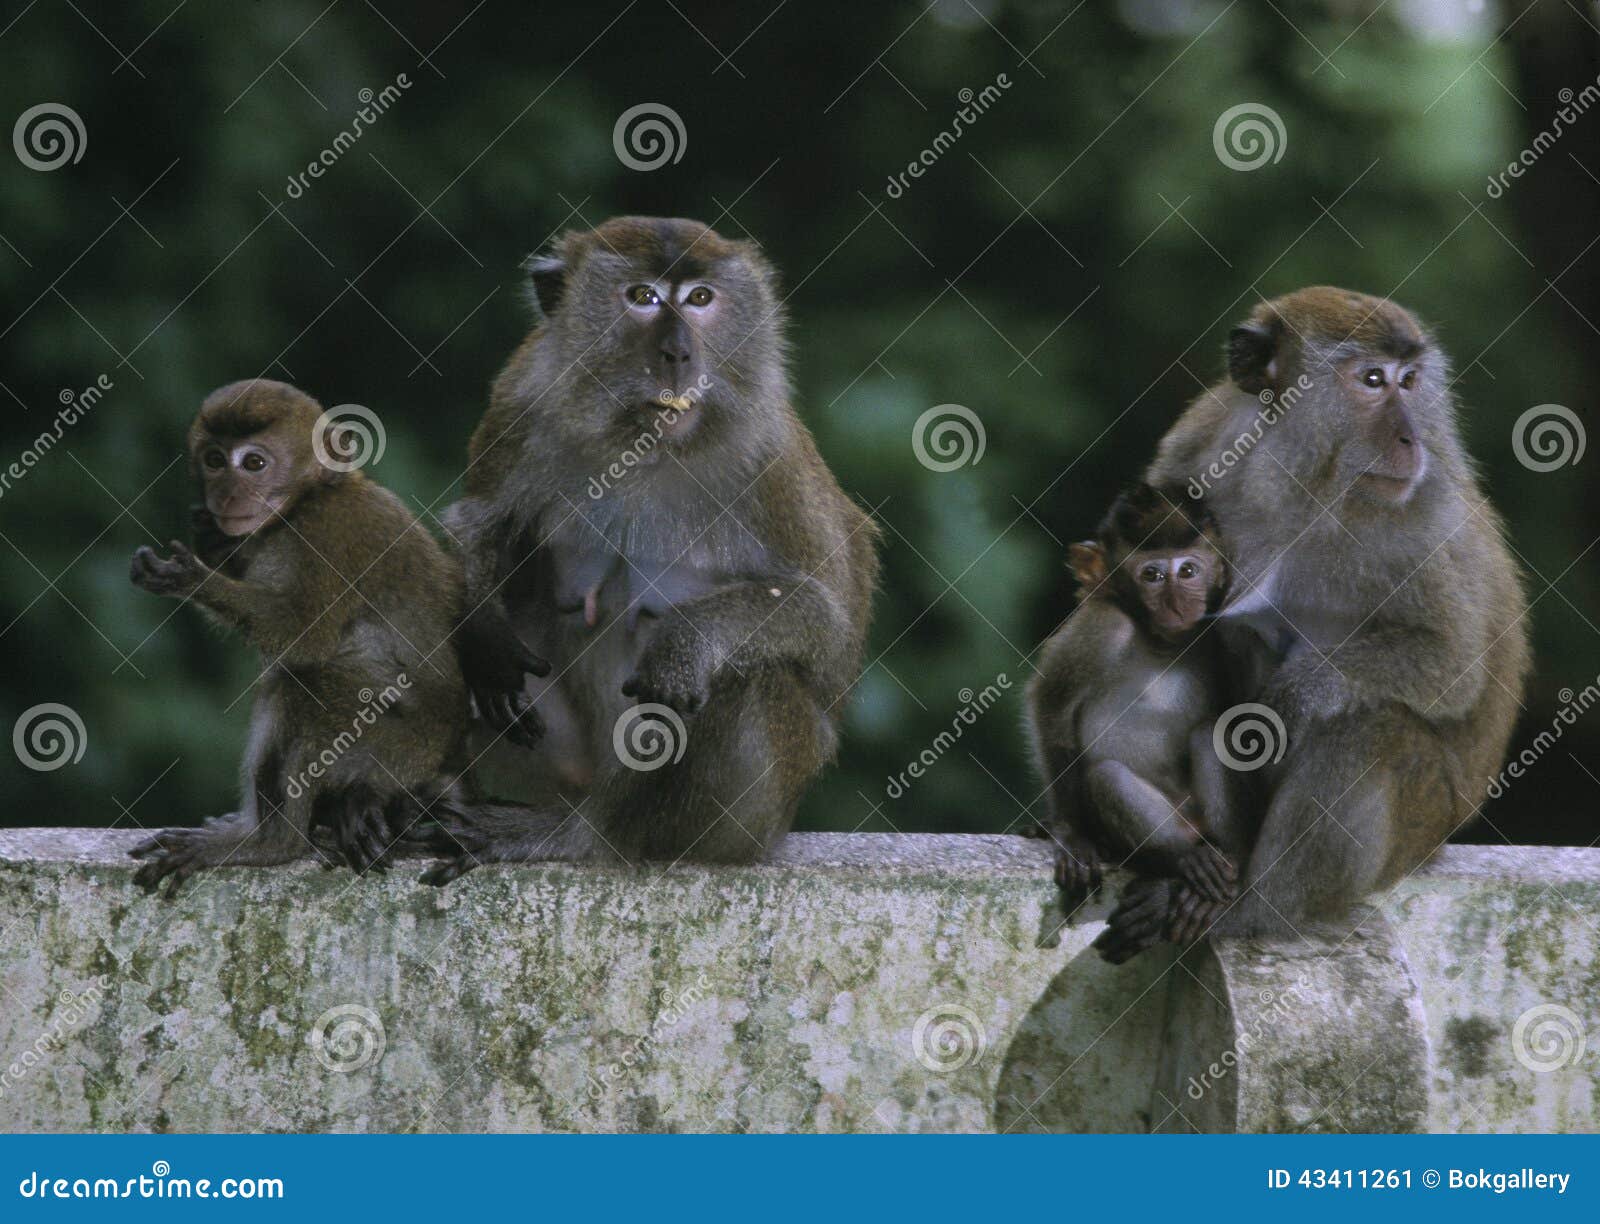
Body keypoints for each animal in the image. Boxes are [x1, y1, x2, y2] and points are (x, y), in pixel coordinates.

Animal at [126, 379, 501, 892]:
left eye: (254, 464)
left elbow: (302, 635)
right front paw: (215, 545)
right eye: (214, 460)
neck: (305, 501)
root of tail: (447, 754)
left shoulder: (327, 535)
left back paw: (272, 843)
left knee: (299, 689)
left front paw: (193, 578)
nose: (225, 495)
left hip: (392, 753)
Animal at [420, 216, 879, 883]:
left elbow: (830, 624)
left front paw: (686, 643)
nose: (679, 354)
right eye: (642, 297)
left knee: (749, 679)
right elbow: (478, 525)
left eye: (700, 298)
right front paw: (487, 640)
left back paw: (587, 837)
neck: (644, 442)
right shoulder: (522, 398)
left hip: (742, 824)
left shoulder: (769, 451)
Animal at [1027, 483, 1244, 911]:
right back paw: (1182, 857)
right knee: (1106, 776)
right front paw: (1070, 833)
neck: (1161, 642)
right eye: (1152, 575)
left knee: (1211, 730)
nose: (1177, 602)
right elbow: (1051, 708)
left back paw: (1223, 859)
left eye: (1188, 571)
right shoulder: (1101, 627)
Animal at [1094, 287, 1529, 962]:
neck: (1300, 483)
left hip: (1420, 825)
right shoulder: (1190, 454)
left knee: (1369, 731)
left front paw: (1289, 699)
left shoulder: (1423, 517)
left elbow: (1449, 667)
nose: (1410, 439)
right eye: (1372, 380)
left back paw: (1251, 910)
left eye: (1409, 381)